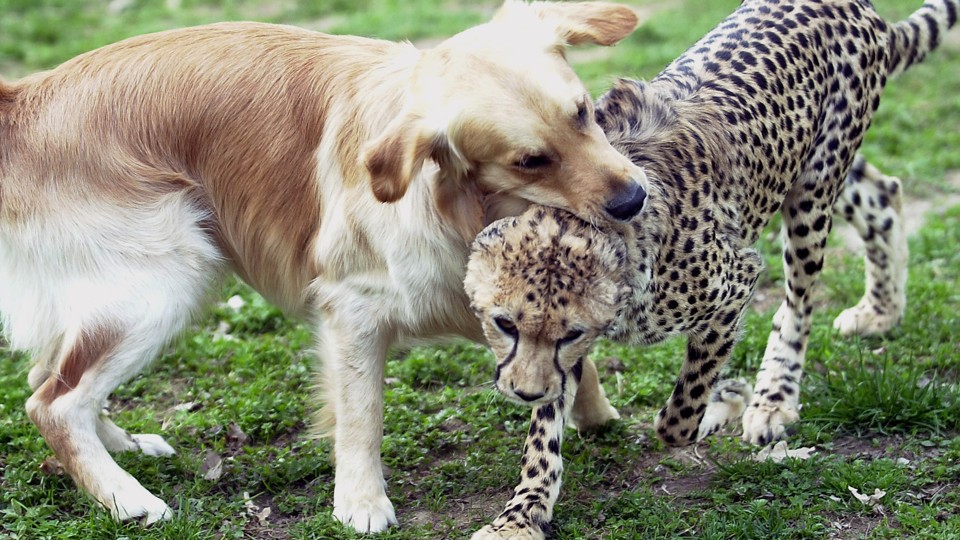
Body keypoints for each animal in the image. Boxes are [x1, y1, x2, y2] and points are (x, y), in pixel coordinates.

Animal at [463, 0, 957, 537]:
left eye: (569, 332)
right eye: (504, 324)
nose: (523, 392)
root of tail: (861, 11)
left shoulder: (735, 285)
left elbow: (679, 416)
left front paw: (726, 403)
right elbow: (543, 437)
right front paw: (521, 514)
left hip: (813, 190)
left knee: (798, 304)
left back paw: (774, 398)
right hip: (800, 168)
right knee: (883, 192)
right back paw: (880, 312)